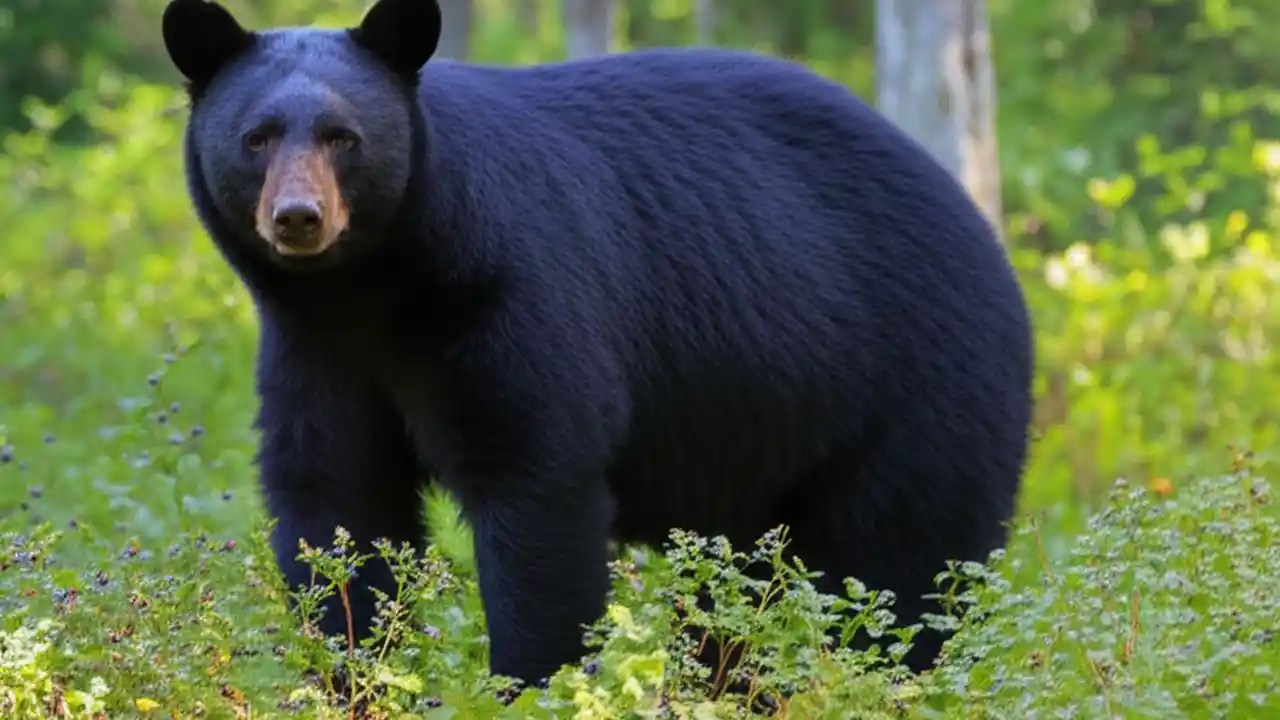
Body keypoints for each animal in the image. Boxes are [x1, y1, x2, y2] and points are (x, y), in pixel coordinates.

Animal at [160, 0, 1033, 685]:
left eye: (344, 137)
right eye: (257, 137)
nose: (299, 218)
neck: (377, 287)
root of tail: (992, 240)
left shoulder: (516, 296)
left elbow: (537, 485)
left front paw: (527, 683)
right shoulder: (318, 351)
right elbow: (336, 508)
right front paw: (349, 674)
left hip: (915, 383)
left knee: (902, 571)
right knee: (737, 596)